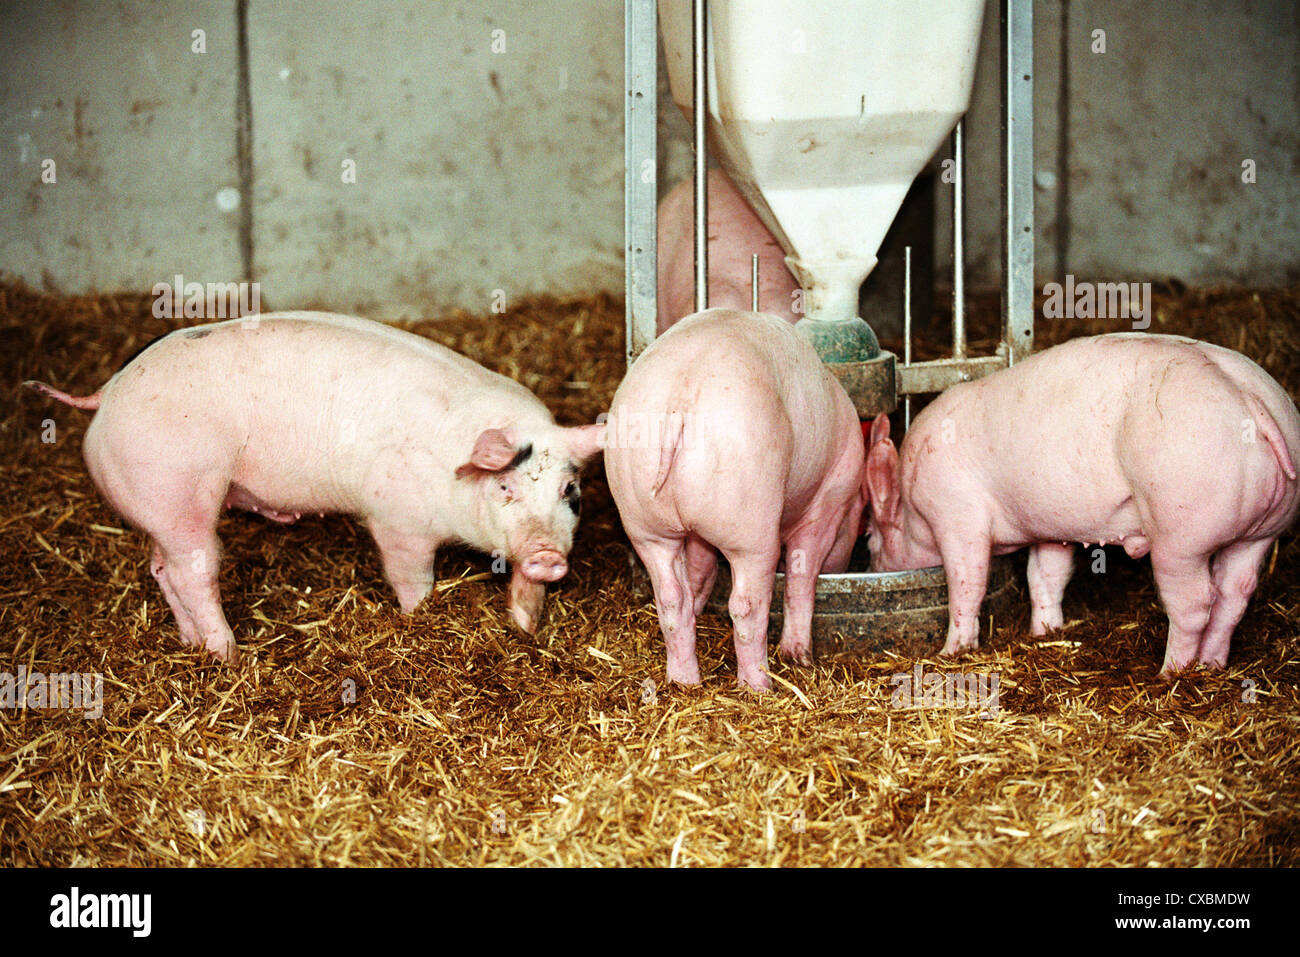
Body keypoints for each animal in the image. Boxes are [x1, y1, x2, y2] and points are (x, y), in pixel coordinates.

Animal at [26, 311, 604, 663]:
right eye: (505, 487)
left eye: (569, 491)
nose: (548, 554)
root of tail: (107, 392)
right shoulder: (397, 521)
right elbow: (412, 579)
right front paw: (419, 621)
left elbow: (525, 592)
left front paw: (525, 629)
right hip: (178, 490)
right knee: (195, 572)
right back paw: (228, 654)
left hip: (158, 505)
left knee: (161, 568)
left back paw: (192, 643)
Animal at [603, 308, 867, 690]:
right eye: (861, 518)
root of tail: (679, 402)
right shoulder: (825, 505)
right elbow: (802, 576)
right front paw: (800, 657)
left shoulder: (695, 532)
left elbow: (701, 567)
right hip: (750, 523)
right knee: (745, 605)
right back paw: (759, 686)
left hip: (643, 521)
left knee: (671, 597)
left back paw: (685, 681)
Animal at [864, 332, 1300, 675]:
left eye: (869, 539)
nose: (870, 565)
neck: (910, 506)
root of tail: (1250, 400)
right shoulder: (1050, 530)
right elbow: (1045, 577)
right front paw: (1044, 633)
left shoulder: (957, 515)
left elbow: (967, 584)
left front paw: (951, 653)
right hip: (1264, 530)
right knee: (1234, 595)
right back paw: (1211, 666)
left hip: (1182, 532)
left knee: (1195, 604)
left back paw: (1170, 673)